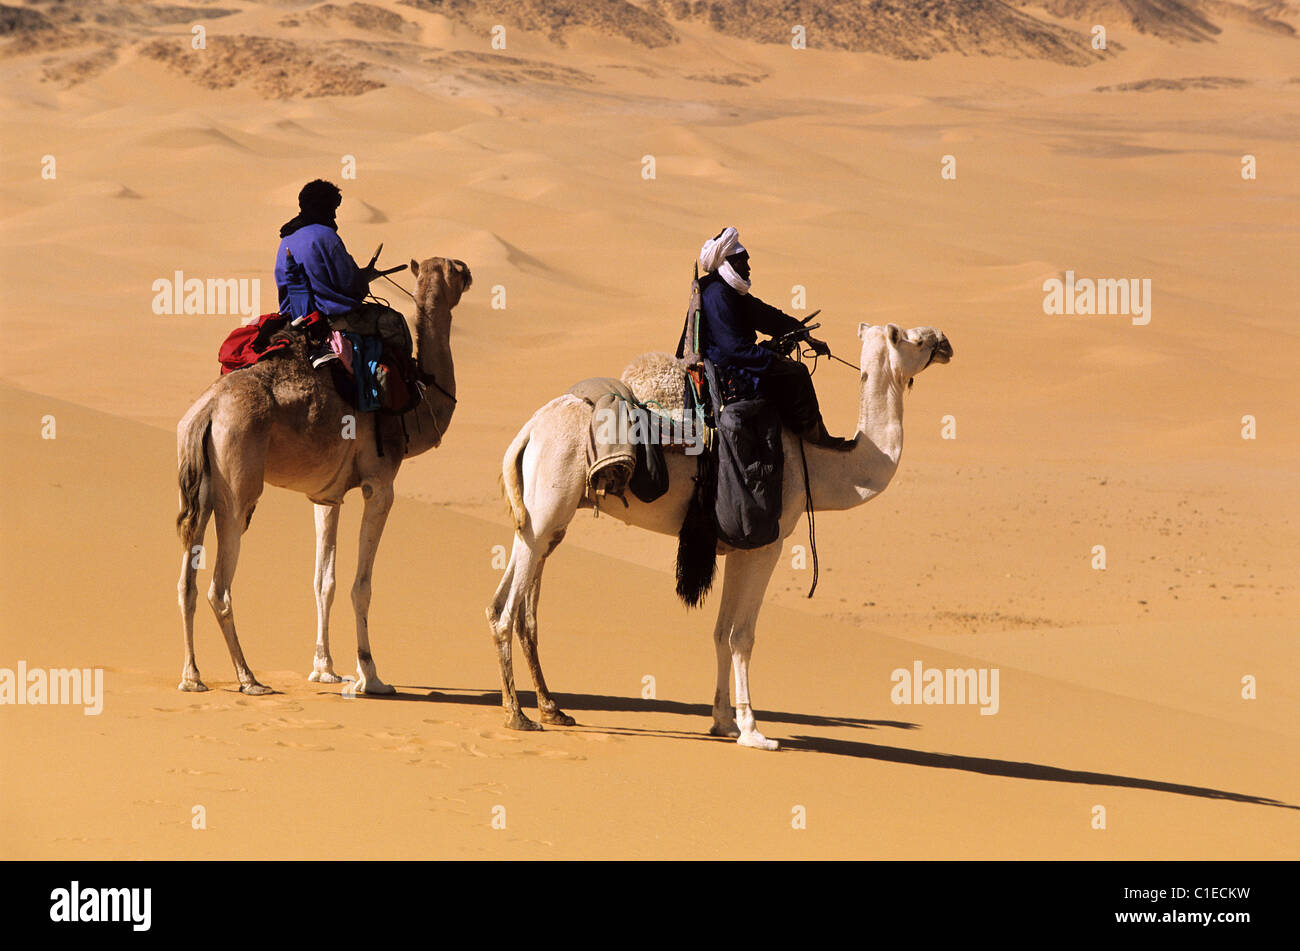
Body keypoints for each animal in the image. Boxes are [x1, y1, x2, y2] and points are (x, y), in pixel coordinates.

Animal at [175, 256, 471, 695]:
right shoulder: (380, 484)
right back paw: (249, 678)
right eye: (454, 268)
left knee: (187, 582)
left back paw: (193, 676)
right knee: (219, 586)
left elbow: (323, 581)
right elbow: (361, 585)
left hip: (198, 487)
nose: (468, 273)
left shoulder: (326, 495)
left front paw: (324, 669)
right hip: (238, 488)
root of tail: (208, 409)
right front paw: (370, 676)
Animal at [487, 322, 952, 750]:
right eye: (911, 337)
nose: (944, 341)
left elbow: (719, 631)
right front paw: (753, 731)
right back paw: (518, 715)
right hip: (550, 502)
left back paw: (551, 709)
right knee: (507, 609)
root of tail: (530, 429)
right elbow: (741, 636)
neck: (819, 465)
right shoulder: (765, 541)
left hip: (543, 518)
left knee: (511, 600)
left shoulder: (735, 547)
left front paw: (723, 722)